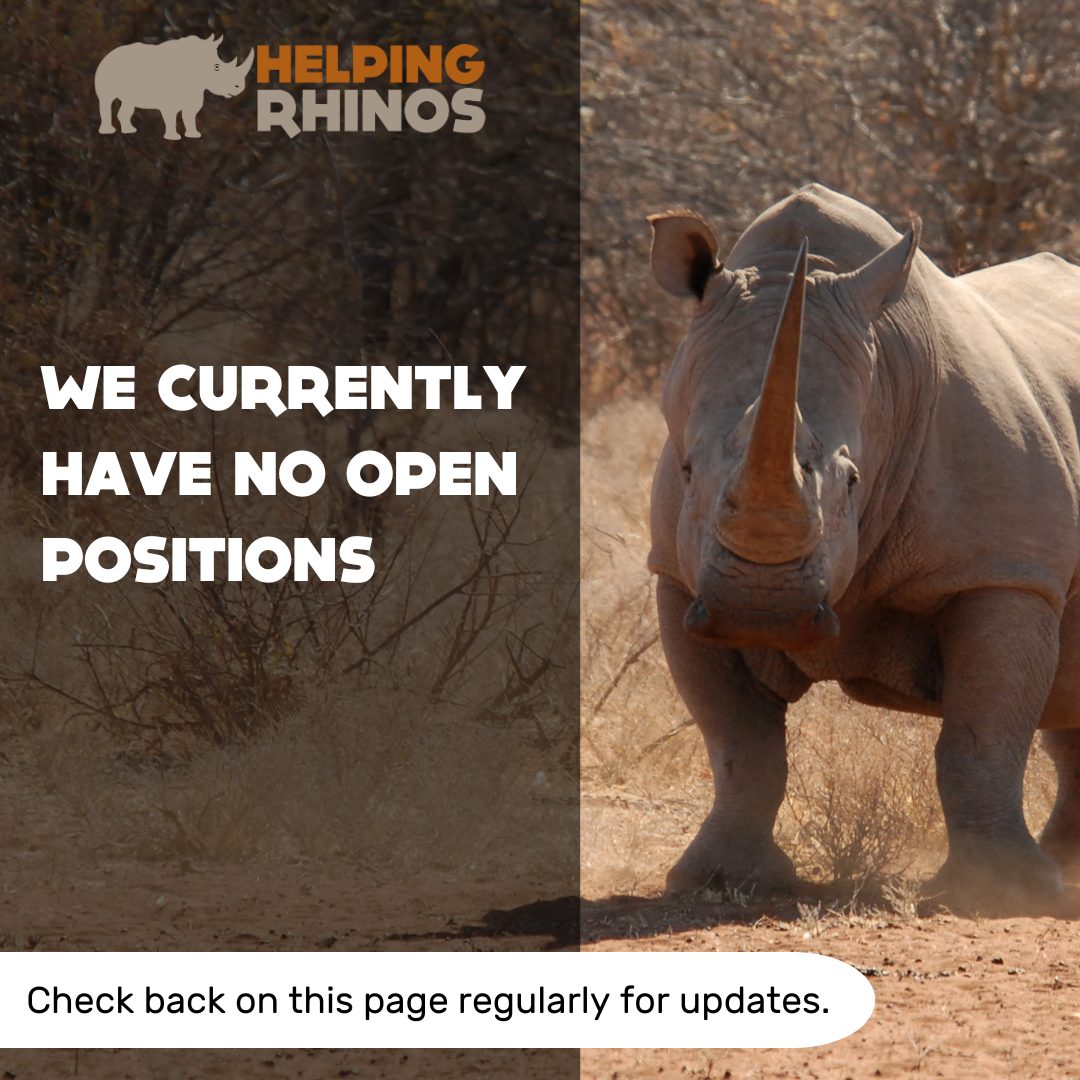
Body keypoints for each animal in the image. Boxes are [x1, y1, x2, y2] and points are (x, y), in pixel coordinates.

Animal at [96, 35, 254, 141]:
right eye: (217, 67)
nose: (238, 87)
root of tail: (109, 53)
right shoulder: (169, 101)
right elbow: (171, 118)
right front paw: (173, 137)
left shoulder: (193, 93)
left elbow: (189, 115)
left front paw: (194, 135)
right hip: (107, 70)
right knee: (106, 99)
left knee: (129, 101)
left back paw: (130, 130)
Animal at [647, 184, 1080, 910]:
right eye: (685, 470)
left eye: (852, 480)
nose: (758, 609)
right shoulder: (679, 581)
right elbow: (739, 741)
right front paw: (718, 880)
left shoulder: (1003, 571)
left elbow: (981, 736)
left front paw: (1002, 895)